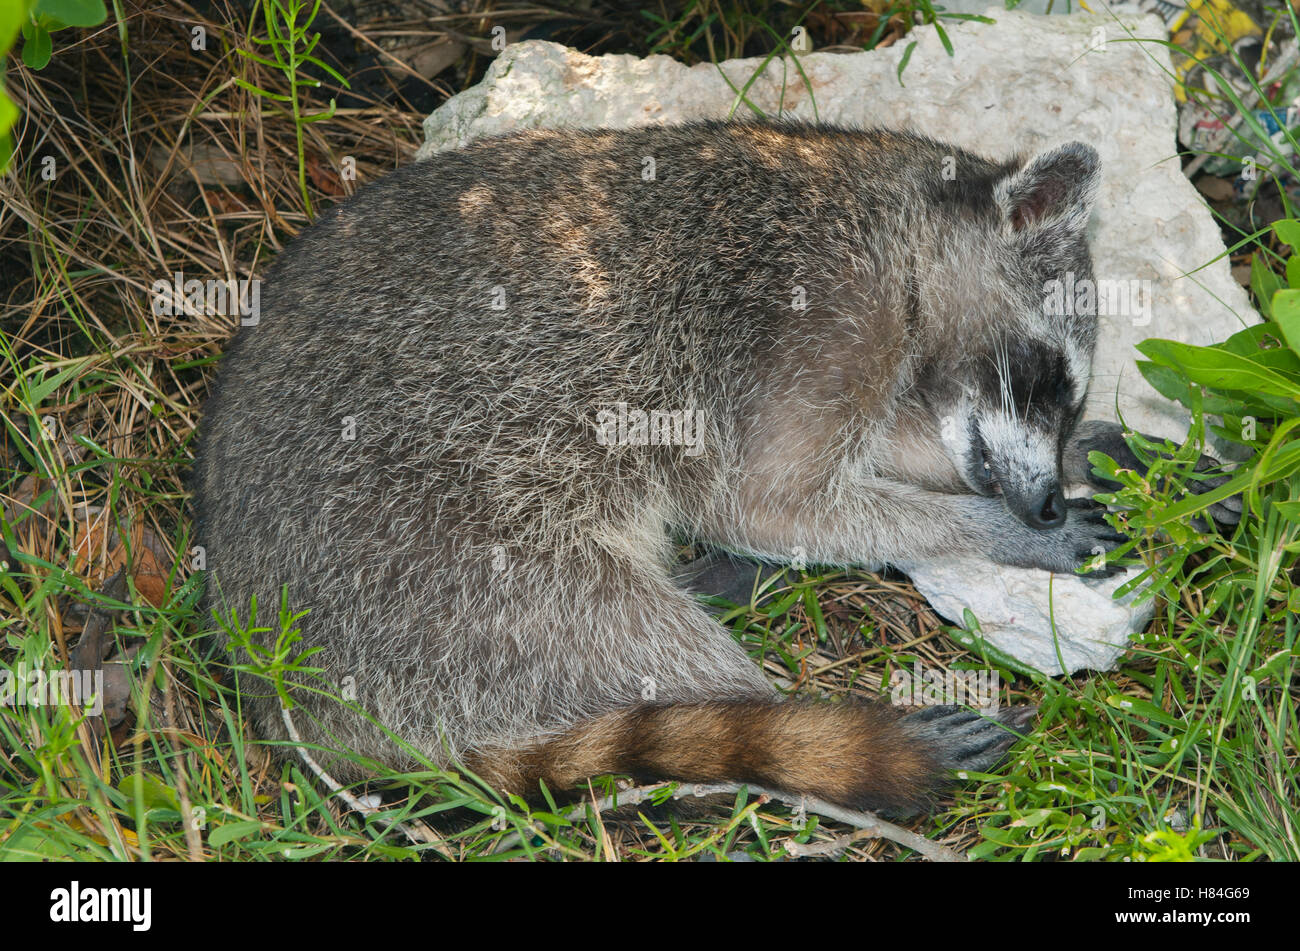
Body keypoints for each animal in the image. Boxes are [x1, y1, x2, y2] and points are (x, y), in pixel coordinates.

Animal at [191, 119, 1227, 814]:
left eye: (1067, 397)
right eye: (1046, 373)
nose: (1042, 503)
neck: (896, 216)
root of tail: (266, 678)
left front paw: (1109, 456)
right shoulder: (821, 320)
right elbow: (769, 501)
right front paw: (987, 529)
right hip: (431, 561)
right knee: (628, 638)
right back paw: (788, 732)